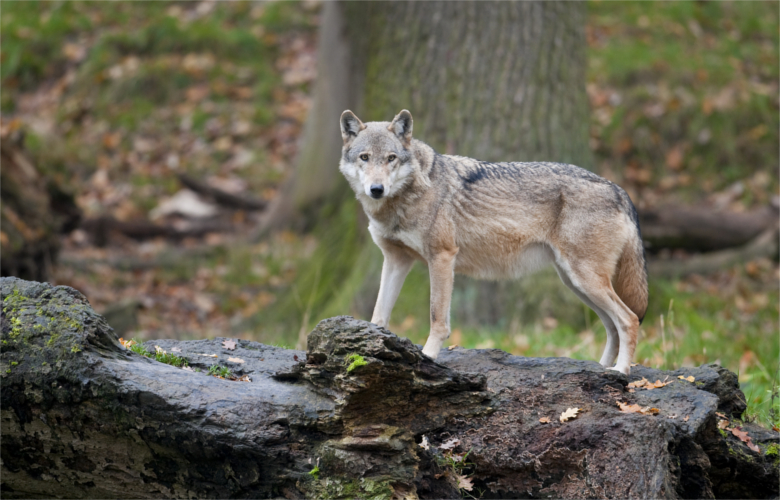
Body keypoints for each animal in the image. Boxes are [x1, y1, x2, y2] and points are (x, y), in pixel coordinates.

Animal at [338, 109, 648, 375]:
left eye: (391, 158)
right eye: (365, 157)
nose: (376, 189)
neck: (405, 198)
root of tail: (619, 190)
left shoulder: (442, 257)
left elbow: (437, 319)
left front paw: (427, 357)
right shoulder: (396, 260)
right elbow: (379, 314)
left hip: (585, 279)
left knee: (629, 319)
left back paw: (621, 371)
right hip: (576, 283)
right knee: (612, 326)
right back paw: (601, 369)